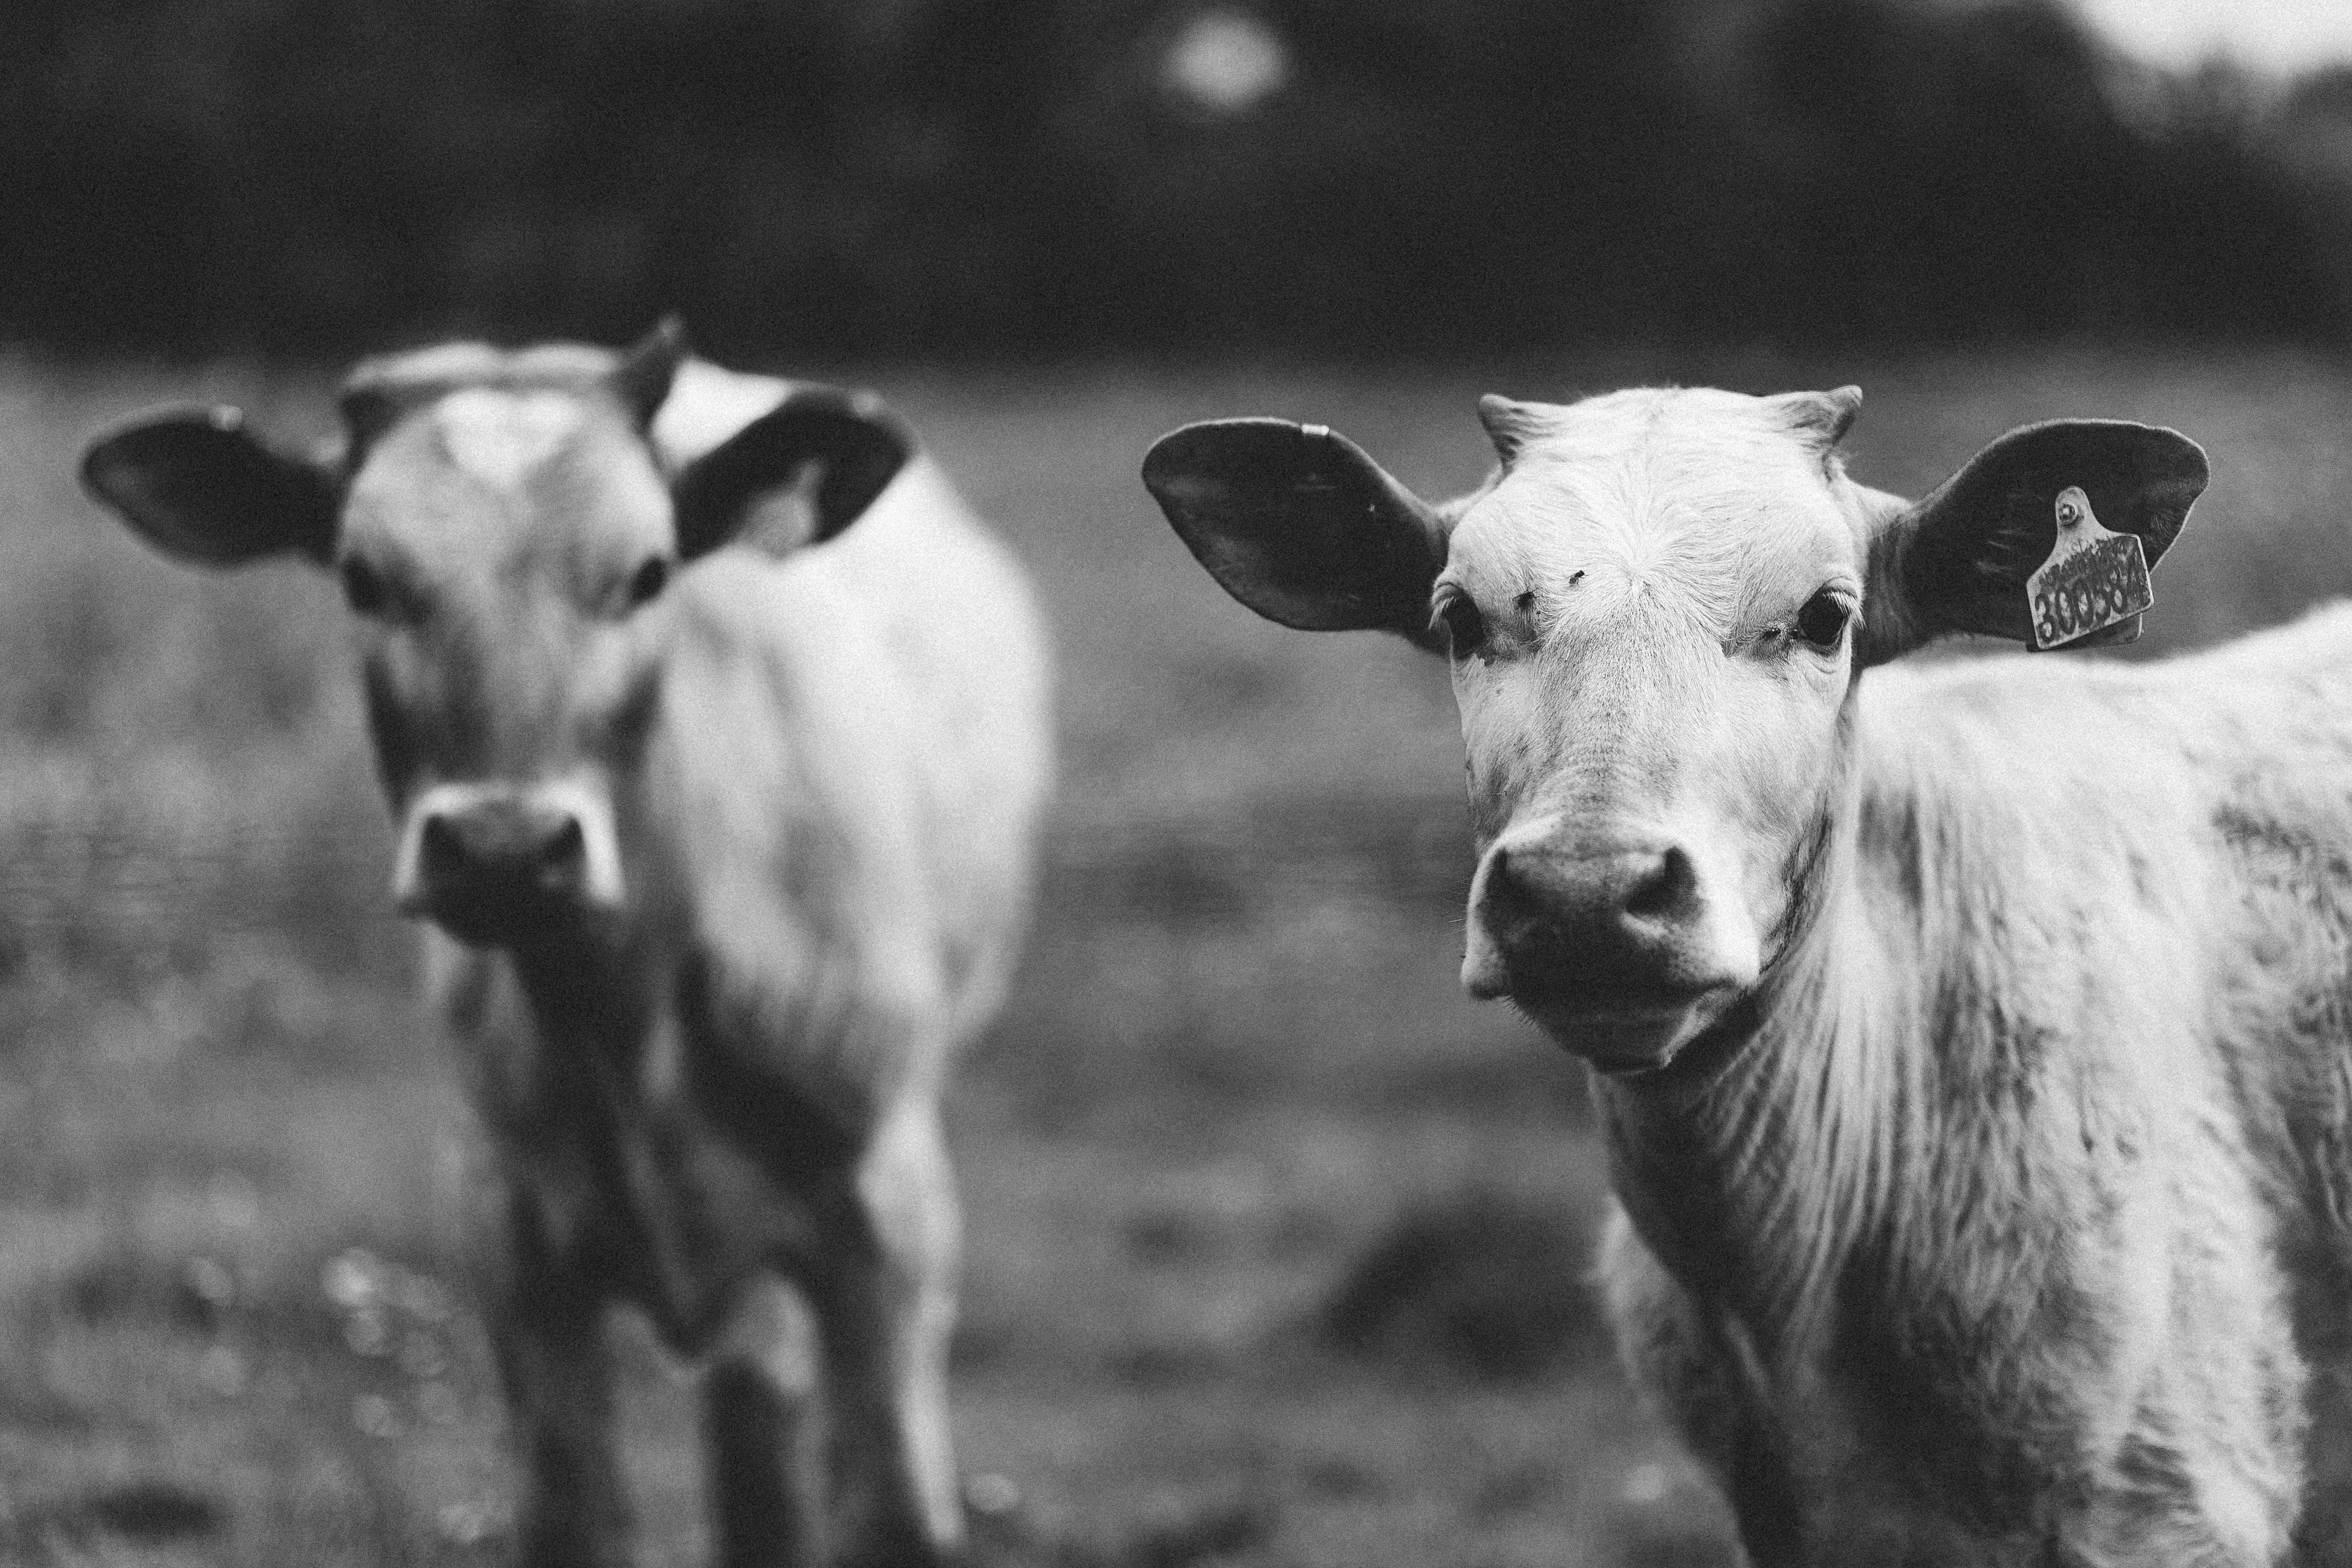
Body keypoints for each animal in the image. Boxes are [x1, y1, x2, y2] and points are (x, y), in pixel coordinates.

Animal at [81, 325, 1052, 1568]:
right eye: (362, 577)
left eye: (648, 572)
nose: (503, 847)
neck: (624, 1005)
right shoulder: (510, 1239)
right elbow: (577, 1512)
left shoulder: (887, 1221)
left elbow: (892, 1512)